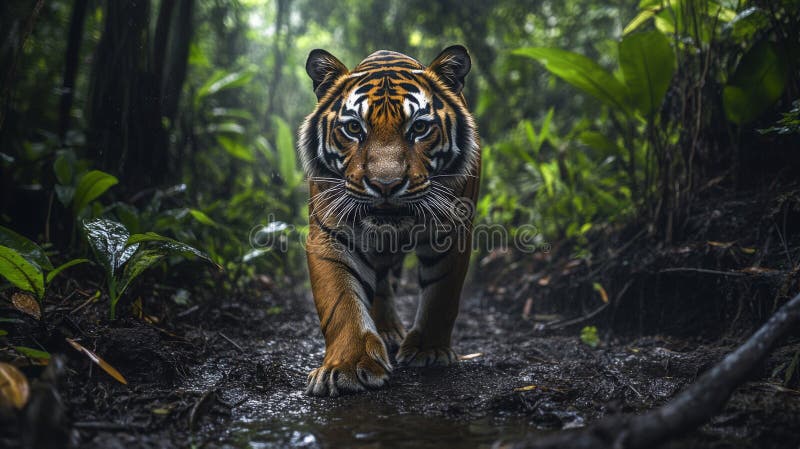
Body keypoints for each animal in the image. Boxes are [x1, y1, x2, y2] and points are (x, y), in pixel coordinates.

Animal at [297, 45, 480, 396]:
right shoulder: (329, 235)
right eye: (354, 128)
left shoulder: (453, 233)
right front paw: (348, 365)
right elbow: (341, 303)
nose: (385, 184)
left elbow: (441, 295)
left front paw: (429, 351)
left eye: (419, 128)